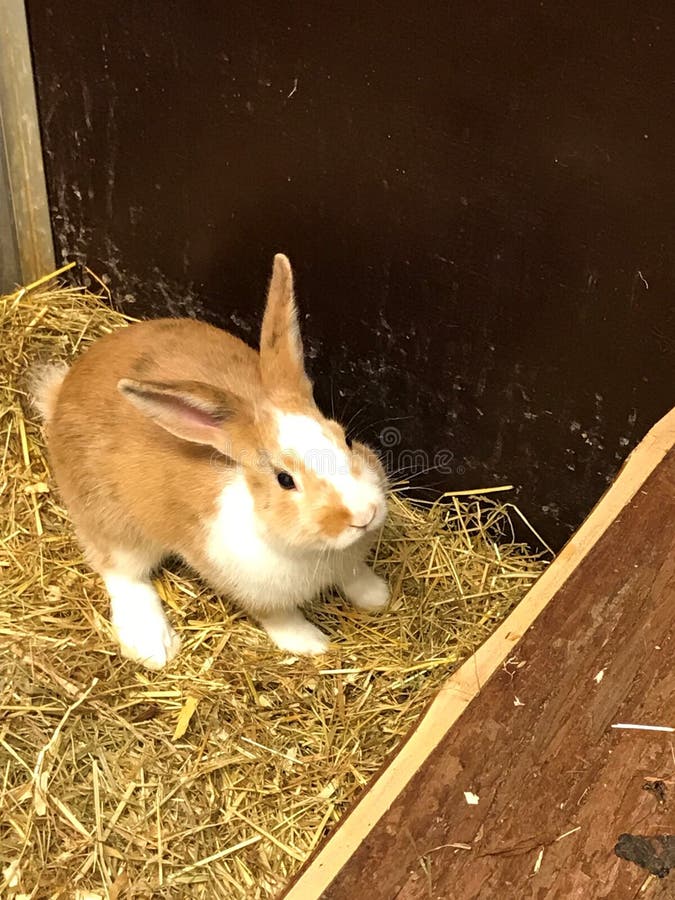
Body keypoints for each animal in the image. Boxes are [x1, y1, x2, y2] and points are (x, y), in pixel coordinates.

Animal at [31, 254, 389, 669]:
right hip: (115, 524)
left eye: (345, 438)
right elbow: (278, 616)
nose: (364, 515)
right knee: (121, 573)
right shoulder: (247, 586)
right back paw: (152, 644)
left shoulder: (350, 563)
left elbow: (356, 578)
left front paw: (378, 596)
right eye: (284, 479)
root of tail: (61, 395)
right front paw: (310, 643)